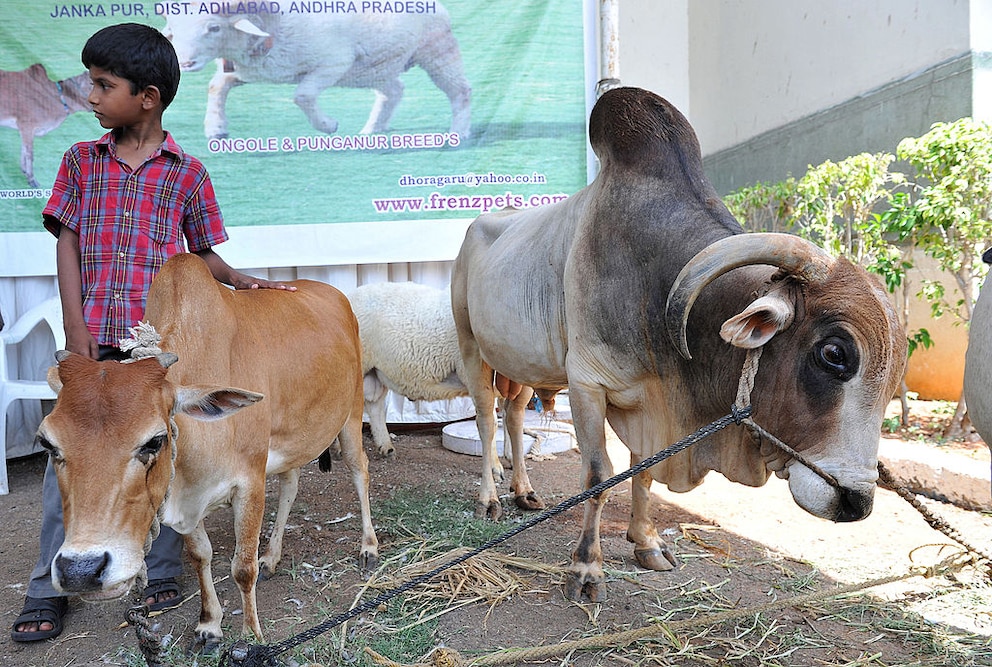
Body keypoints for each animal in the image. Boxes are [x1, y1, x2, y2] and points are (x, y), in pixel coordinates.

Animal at [36, 253, 379, 651]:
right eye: (47, 443)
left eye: (155, 441)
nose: (81, 570)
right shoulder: (182, 498)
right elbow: (202, 557)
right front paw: (209, 625)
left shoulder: (249, 483)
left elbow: (241, 567)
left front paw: (251, 638)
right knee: (291, 486)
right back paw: (271, 556)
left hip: (351, 417)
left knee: (359, 471)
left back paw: (369, 547)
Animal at [161, 7, 471, 140]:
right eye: (174, 29)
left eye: (213, 27)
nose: (185, 62)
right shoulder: (253, 70)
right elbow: (217, 85)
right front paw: (215, 128)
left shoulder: (332, 63)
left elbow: (303, 95)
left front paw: (328, 125)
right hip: (372, 69)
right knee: (393, 91)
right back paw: (372, 129)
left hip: (437, 51)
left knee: (461, 91)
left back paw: (459, 132)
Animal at [451, 87, 907, 602]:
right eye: (834, 354)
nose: (855, 501)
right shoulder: (586, 383)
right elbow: (598, 476)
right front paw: (587, 568)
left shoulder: (646, 408)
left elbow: (643, 471)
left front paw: (646, 542)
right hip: (471, 346)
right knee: (486, 420)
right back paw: (490, 498)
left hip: (528, 365)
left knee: (512, 416)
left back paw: (524, 491)